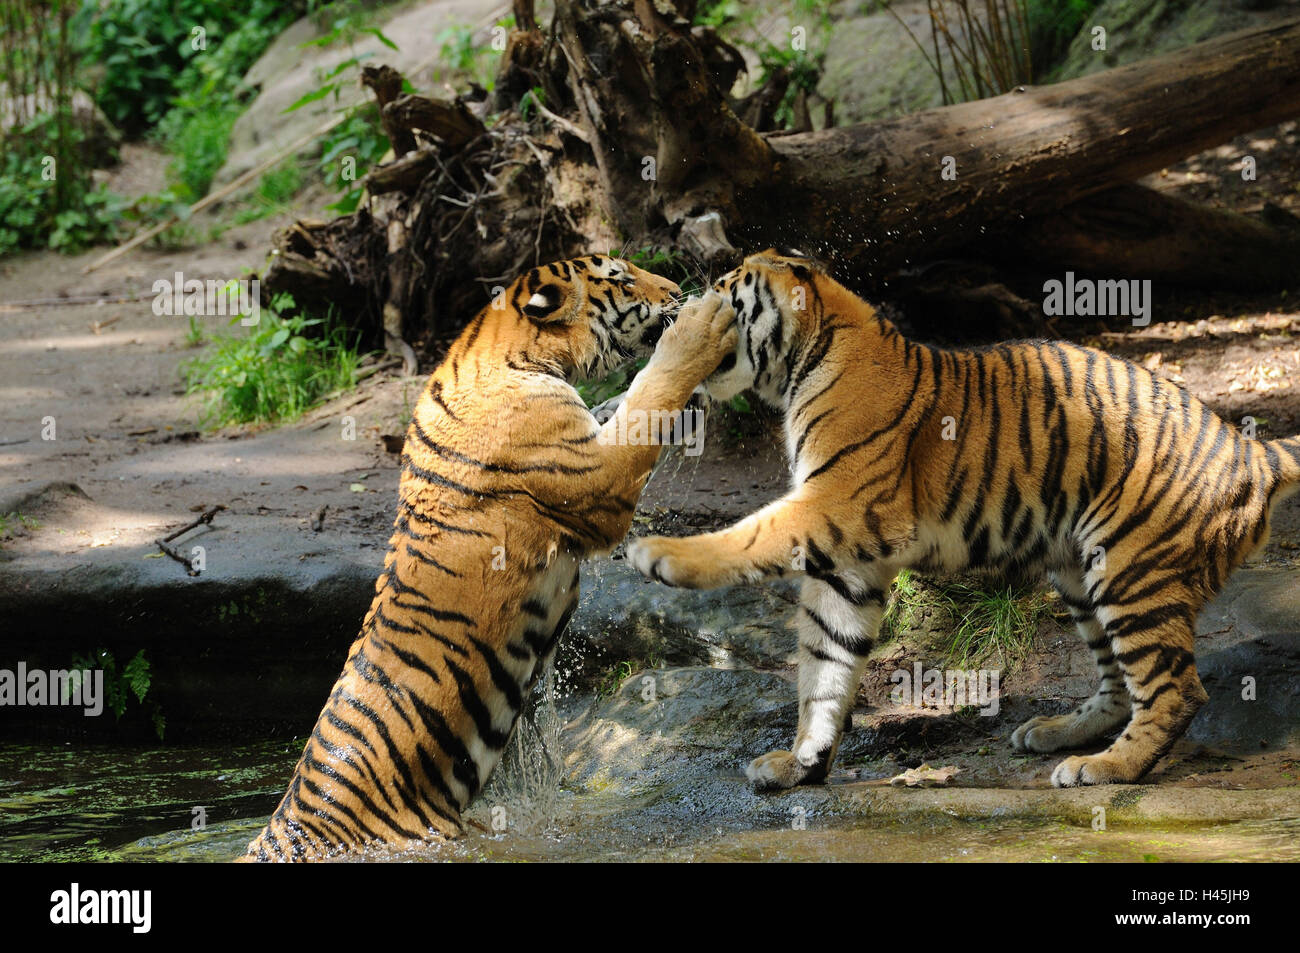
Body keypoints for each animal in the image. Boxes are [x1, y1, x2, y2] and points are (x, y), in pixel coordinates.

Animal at [242, 256, 737, 861]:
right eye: (620, 277)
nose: (674, 290)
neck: (520, 355)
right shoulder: (599, 482)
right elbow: (647, 391)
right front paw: (701, 327)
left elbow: (620, 403)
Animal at [628, 249, 1300, 791]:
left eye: (724, 284)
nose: (683, 303)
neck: (801, 365)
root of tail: (1253, 449)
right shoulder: (852, 560)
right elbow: (825, 664)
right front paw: (802, 764)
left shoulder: (838, 504)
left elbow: (750, 536)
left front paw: (661, 556)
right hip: (1080, 572)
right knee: (1118, 683)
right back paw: (1057, 734)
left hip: (1132, 569)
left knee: (1175, 690)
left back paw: (1105, 767)